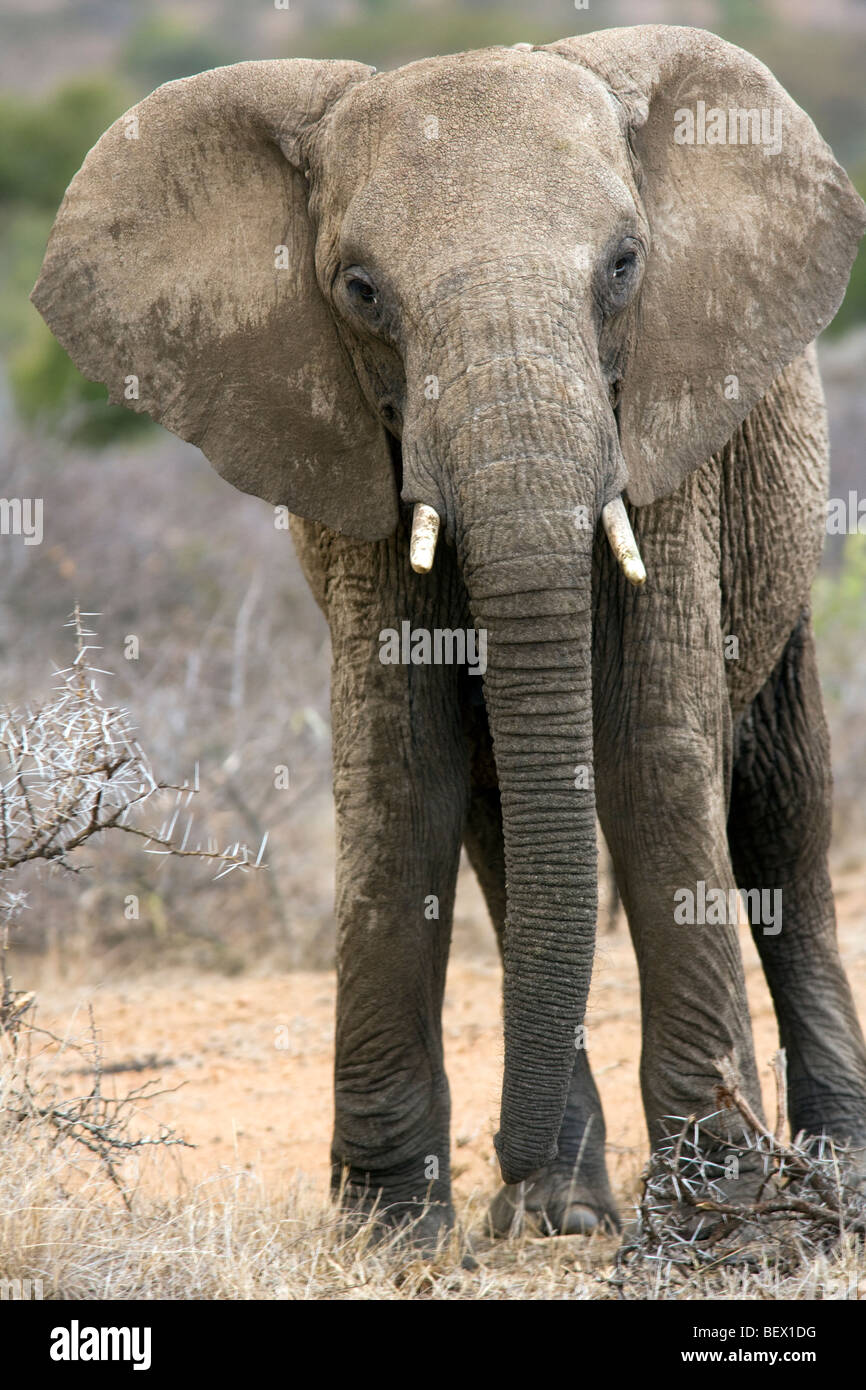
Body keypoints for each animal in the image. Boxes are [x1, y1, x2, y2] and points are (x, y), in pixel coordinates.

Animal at [32, 25, 866, 1248]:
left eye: (625, 265)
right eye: (359, 289)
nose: (506, 1160)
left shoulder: (668, 450)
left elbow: (653, 758)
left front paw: (725, 1216)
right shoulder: (346, 458)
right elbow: (399, 775)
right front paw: (390, 1230)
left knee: (778, 809)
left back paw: (821, 1172)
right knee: (499, 823)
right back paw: (561, 1210)